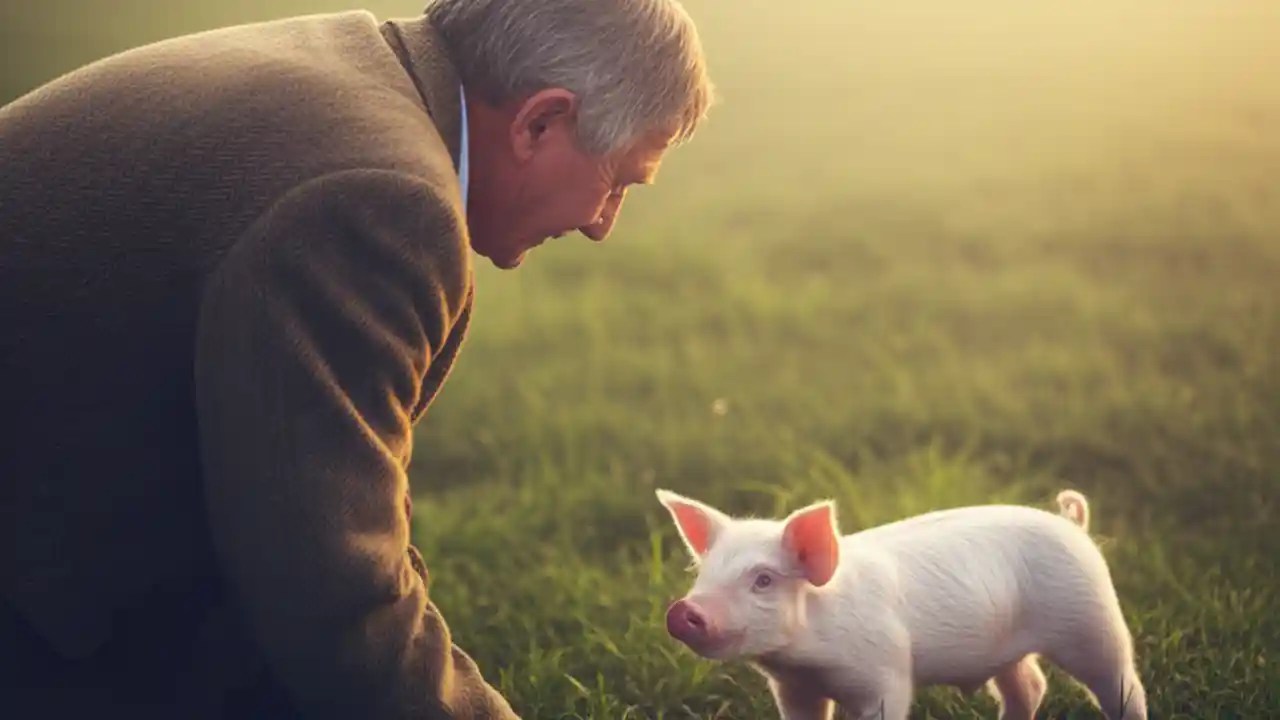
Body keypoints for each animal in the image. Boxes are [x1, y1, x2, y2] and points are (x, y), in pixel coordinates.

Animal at [656, 488, 1147, 720]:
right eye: (703, 574)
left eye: (763, 580)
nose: (683, 610)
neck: (807, 657)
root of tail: (1073, 525)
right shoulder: (793, 688)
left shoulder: (884, 673)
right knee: (1029, 685)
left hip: (1092, 618)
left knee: (1122, 685)